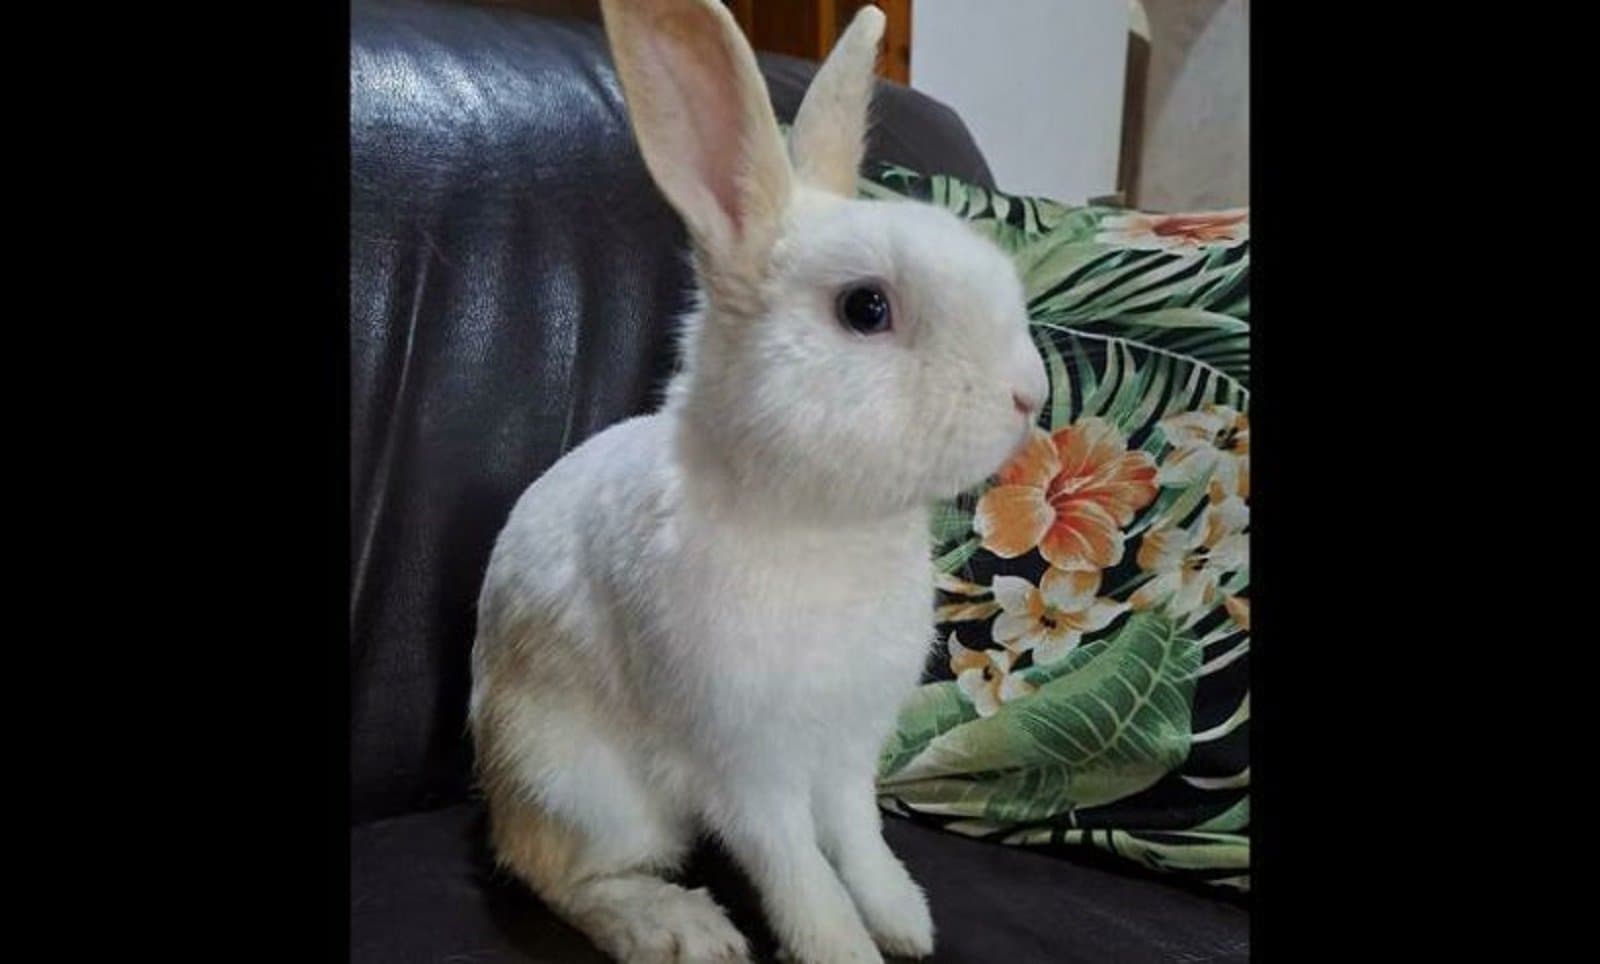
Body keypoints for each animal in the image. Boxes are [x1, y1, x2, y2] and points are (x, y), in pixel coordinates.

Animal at [468, 2, 1048, 962]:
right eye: (865, 308)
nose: (1029, 396)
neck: (825, 524)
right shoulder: (745, 764)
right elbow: (797, 871)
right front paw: (844, 948)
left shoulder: (848, 749)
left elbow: (857, 839)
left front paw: (904, 920)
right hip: (588, 788)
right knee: (561, 874)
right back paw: (681, 929)